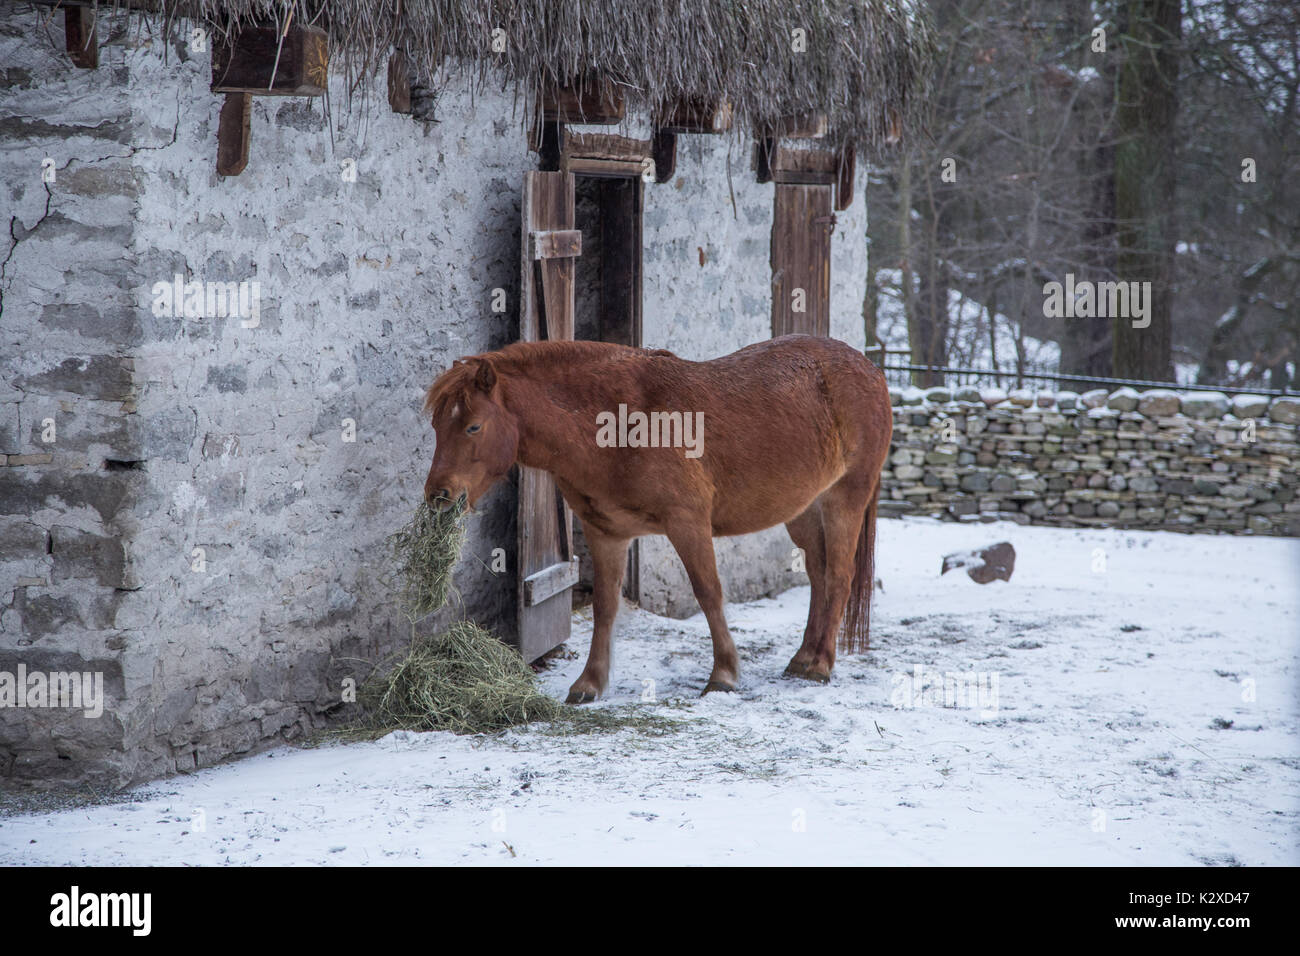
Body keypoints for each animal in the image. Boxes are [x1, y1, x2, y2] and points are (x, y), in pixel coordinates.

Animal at [422, 334, 893, 702]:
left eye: (473, 427)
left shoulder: (688, 523)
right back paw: (803, 657)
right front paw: (589, 683)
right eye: (436, 427)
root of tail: (870, 369)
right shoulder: (606, 532)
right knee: (818, 573)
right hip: (804, 510)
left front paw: (723, 674)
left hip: (844, 499)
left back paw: (821, 664)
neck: (619, 424)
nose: (439, 496)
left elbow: (708, 593)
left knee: (839, 577)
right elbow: (605, 607)